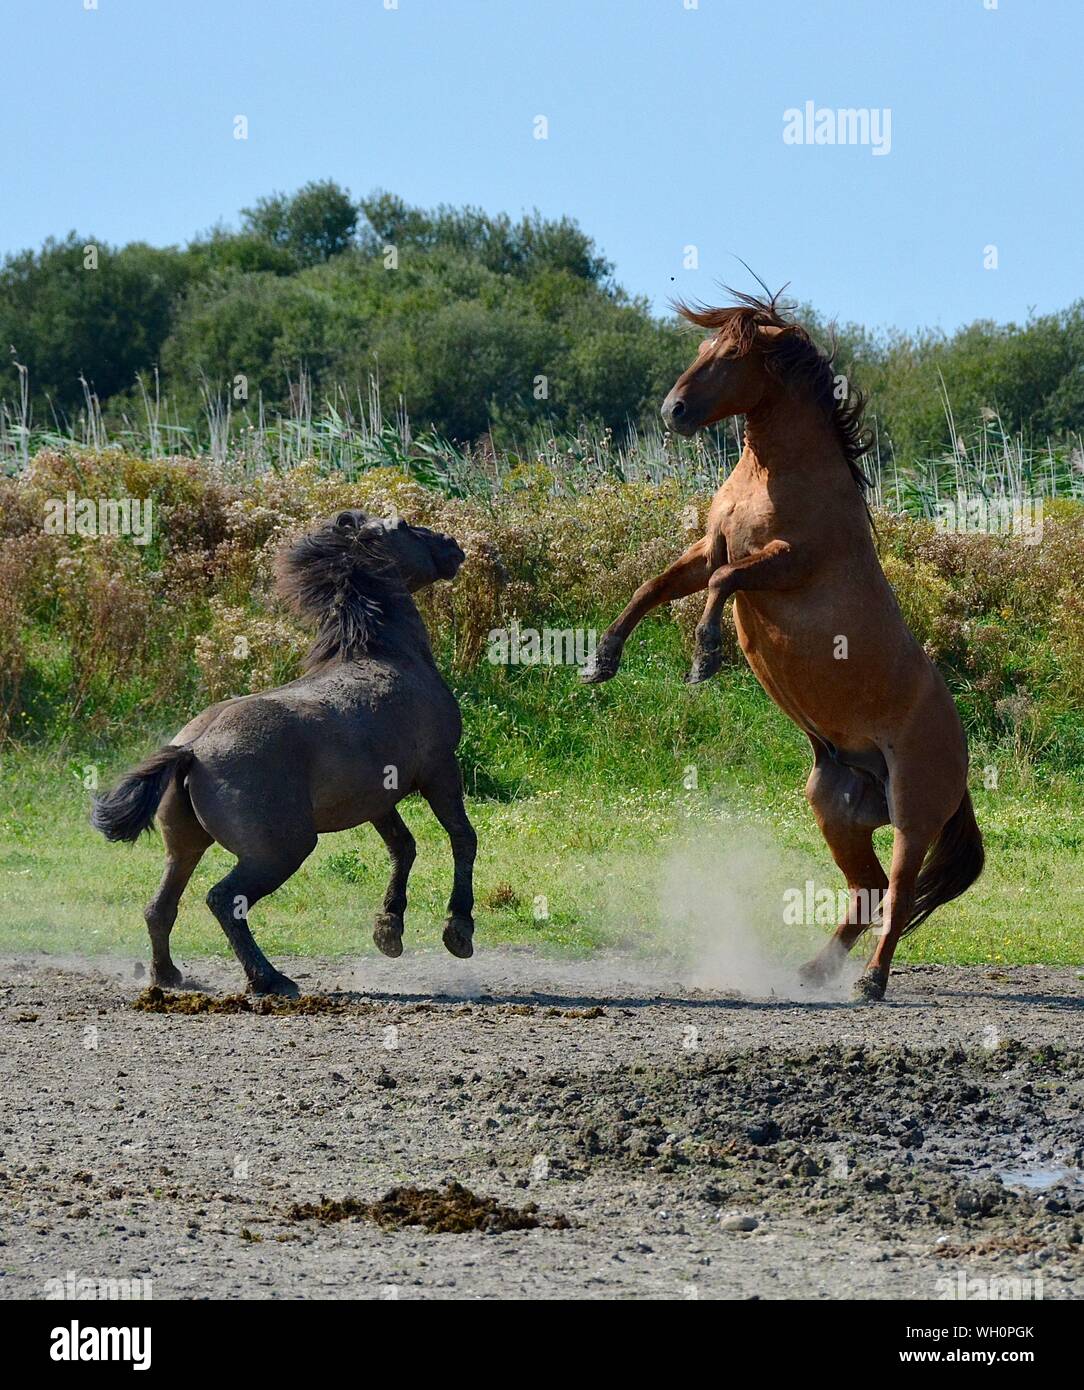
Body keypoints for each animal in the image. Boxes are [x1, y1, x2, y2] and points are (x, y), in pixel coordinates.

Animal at [92, 510, 476, 997]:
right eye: (405, 525)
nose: (451, 545)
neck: (389, 655)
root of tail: (194, 749)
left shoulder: (375, 797)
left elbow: (402, 847)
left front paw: (389, 930)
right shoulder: (440, 769)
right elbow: (461, 837)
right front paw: (458, 931)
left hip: (184, 846)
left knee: (159, 907)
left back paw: (170, 976)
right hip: (279, 851)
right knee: (223, 900)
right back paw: (270, 978)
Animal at [583, 291, 984, 1000]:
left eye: (732, 355)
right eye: (702, 347)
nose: (673, 411)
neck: (779, 474)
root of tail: (962, 762)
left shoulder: (785, 561)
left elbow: (723, 583)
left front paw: (705, 656)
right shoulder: (711, 544)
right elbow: (658, 584)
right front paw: (602, 658)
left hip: (913, 814)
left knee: (900, 889)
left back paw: (871, 982)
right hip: (838, 809)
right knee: (869, 891)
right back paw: (814, 972)